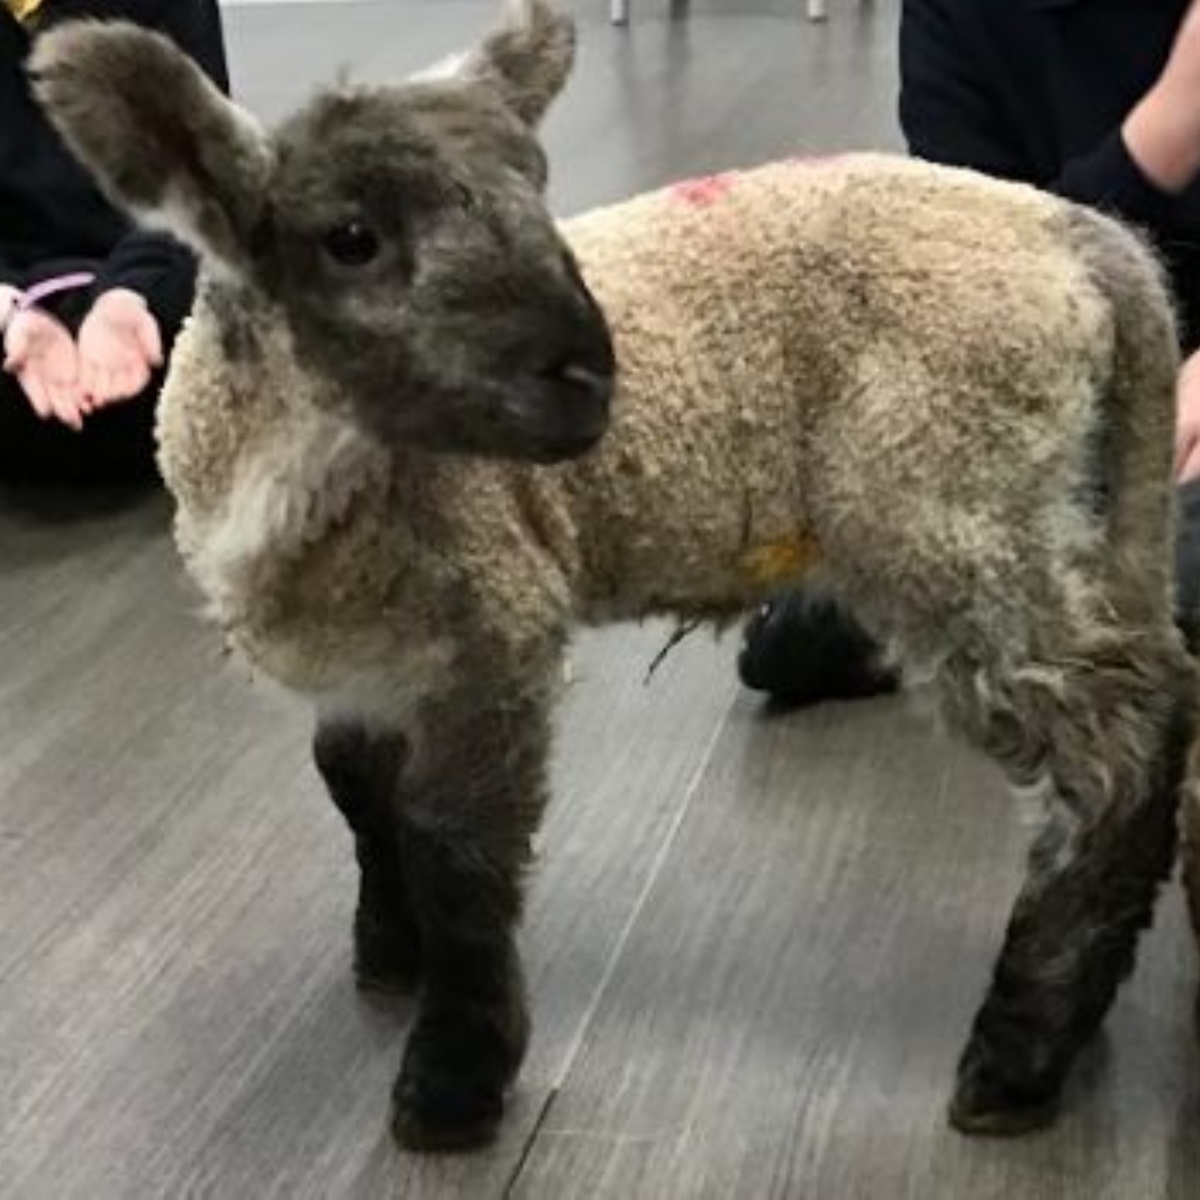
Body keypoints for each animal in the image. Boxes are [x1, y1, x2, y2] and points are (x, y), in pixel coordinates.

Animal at [30, 0, 1199, 1154]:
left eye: (536, 183)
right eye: (351, 238)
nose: (591, 374)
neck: (303, 478)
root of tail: (1088, 243)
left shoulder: (494, 626)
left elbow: (454, 848)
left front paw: (452, 1079)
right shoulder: (370, 660)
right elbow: (357, 791)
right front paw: (390, 948)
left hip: (954, 504)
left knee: (1118, 751)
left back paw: (1018, 1051)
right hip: (1069, 512)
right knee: (1154, 692)